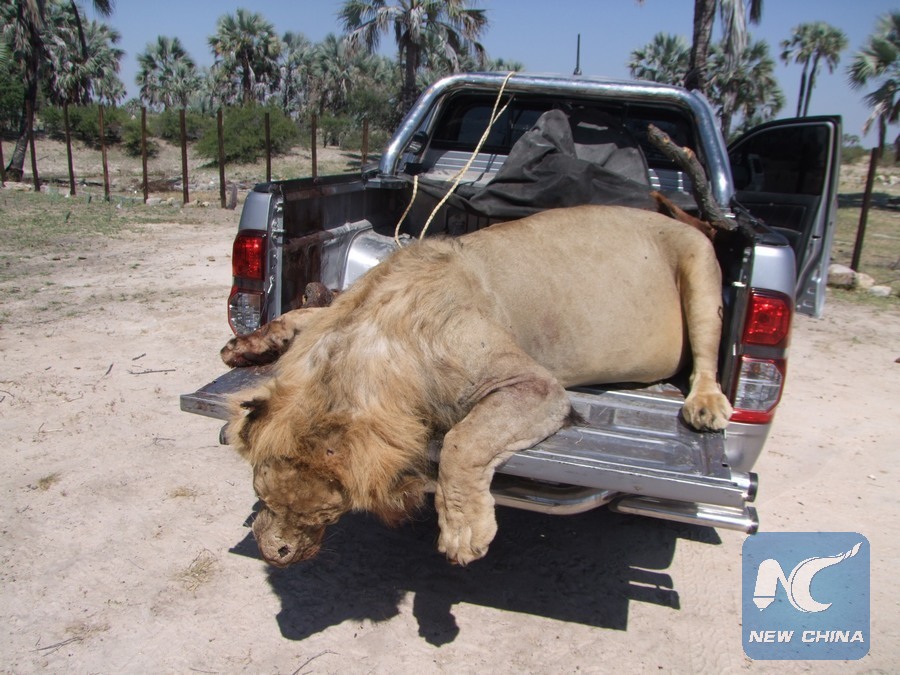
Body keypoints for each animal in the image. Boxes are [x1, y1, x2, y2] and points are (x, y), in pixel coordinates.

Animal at [225, 205, 733, 567]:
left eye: (324, 515)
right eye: (262, 498)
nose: (274, 554)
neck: (364, 337)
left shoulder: (534, 386)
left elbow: (461, 441)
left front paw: (463, 530)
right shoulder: (335, 314)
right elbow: (298, 315)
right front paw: (245, 346)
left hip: (700, 272)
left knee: (707, 354)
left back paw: (706, 406)